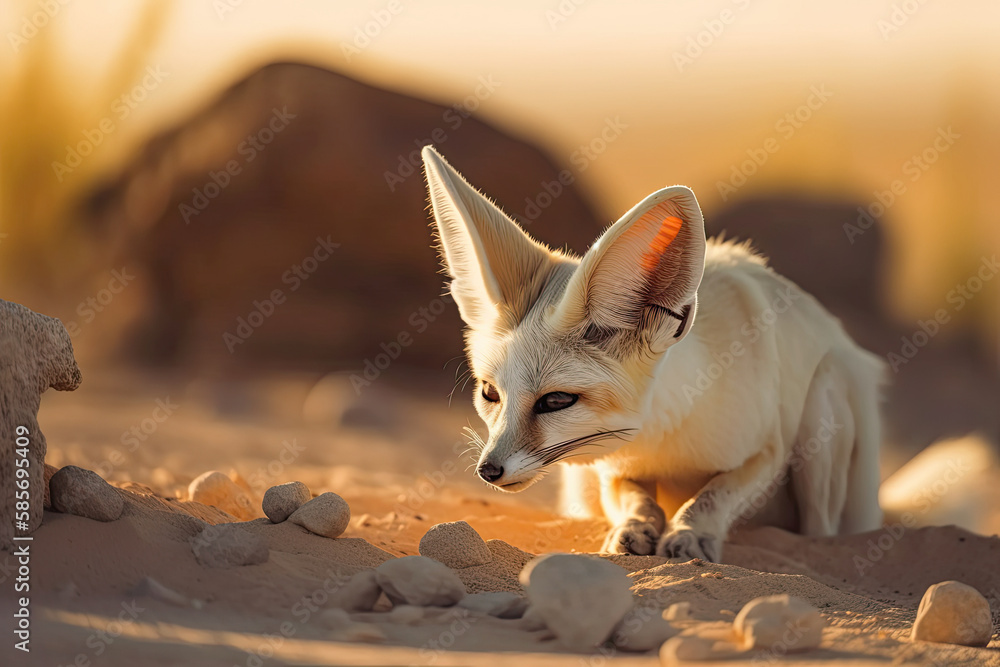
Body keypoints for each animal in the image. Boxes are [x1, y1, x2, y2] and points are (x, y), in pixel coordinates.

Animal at [421, 145, 884, 562]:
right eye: (490, 394)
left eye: (556, 401)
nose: (488, 470)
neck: (665, 443)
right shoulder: (611, 467)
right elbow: (634, 499)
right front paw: (635, 528)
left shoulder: (767, 451)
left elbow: (717, 493)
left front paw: (691, 532)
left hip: (824, 406)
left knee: (818, 531)